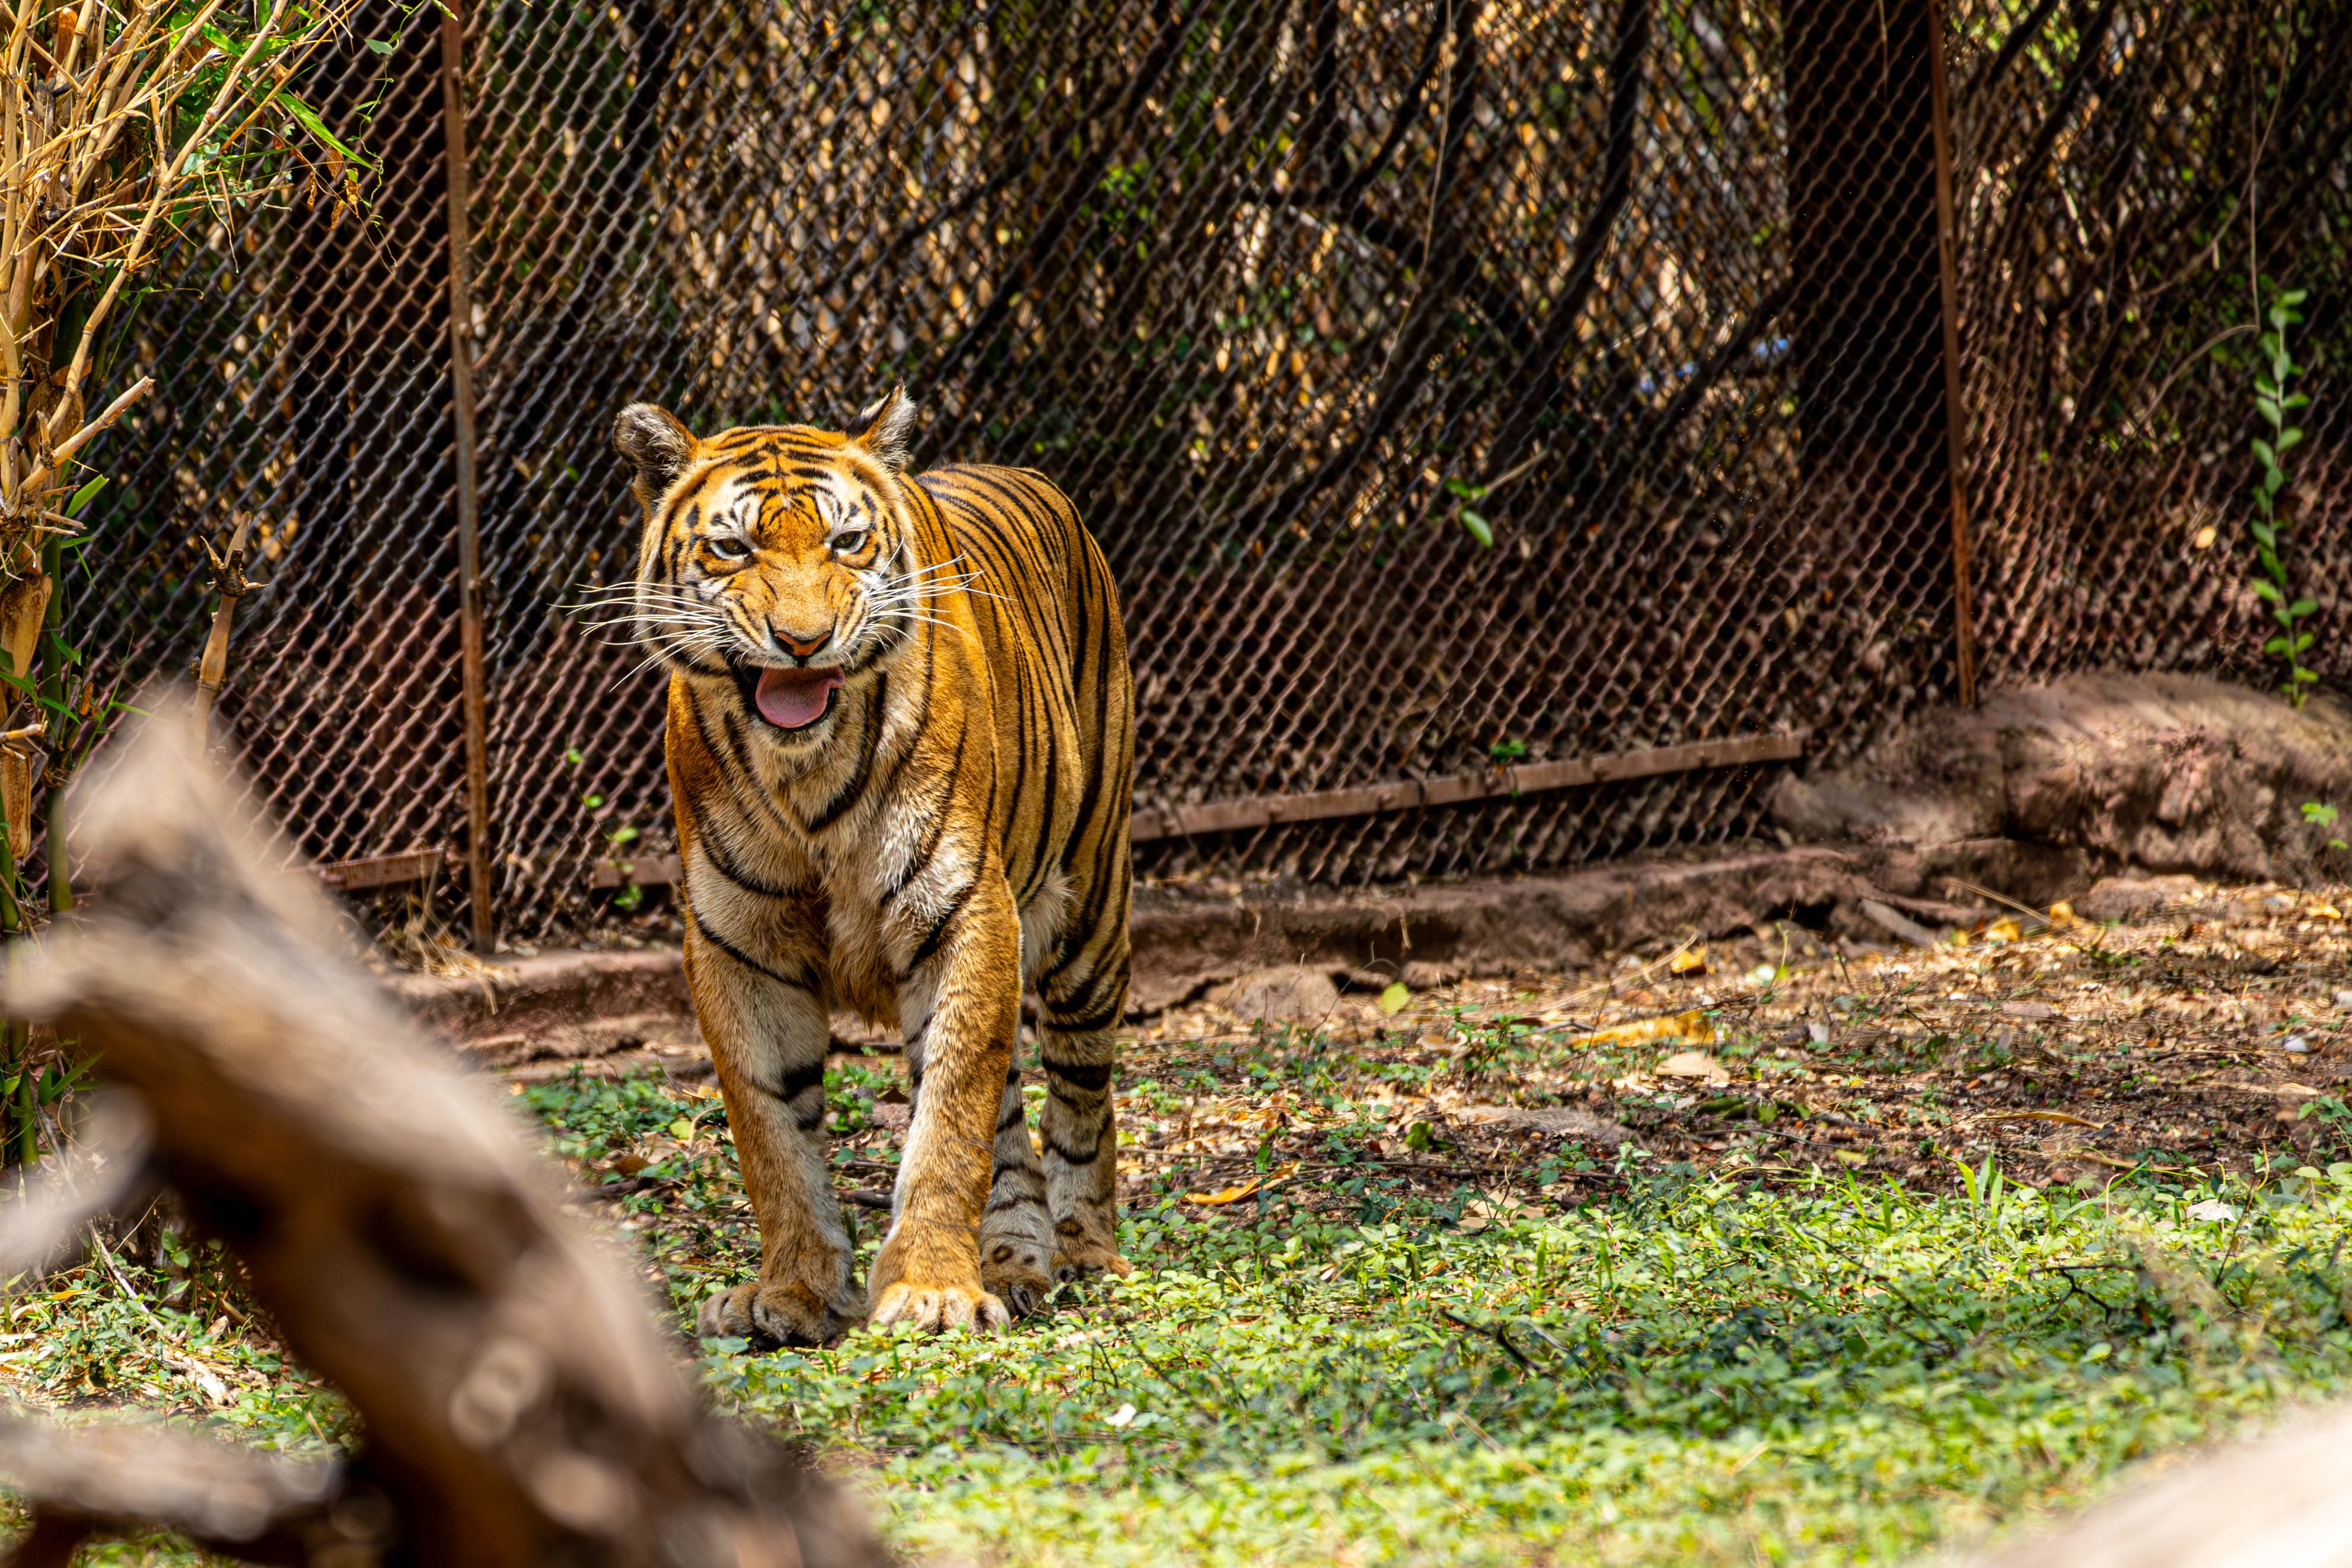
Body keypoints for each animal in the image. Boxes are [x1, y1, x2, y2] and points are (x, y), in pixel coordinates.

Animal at [610, 388, 1135, 1345]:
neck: (803, 772)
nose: (803, 641)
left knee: (1081, 1094)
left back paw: (1083, 1251)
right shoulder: (737, 944)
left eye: (846, 542)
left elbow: (948, 1117)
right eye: (733, 549)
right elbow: (773, 1134)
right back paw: (1014, 1258)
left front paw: (930, 1290)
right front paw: (794, 1290)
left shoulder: (963, 910)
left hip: (1090, 915)